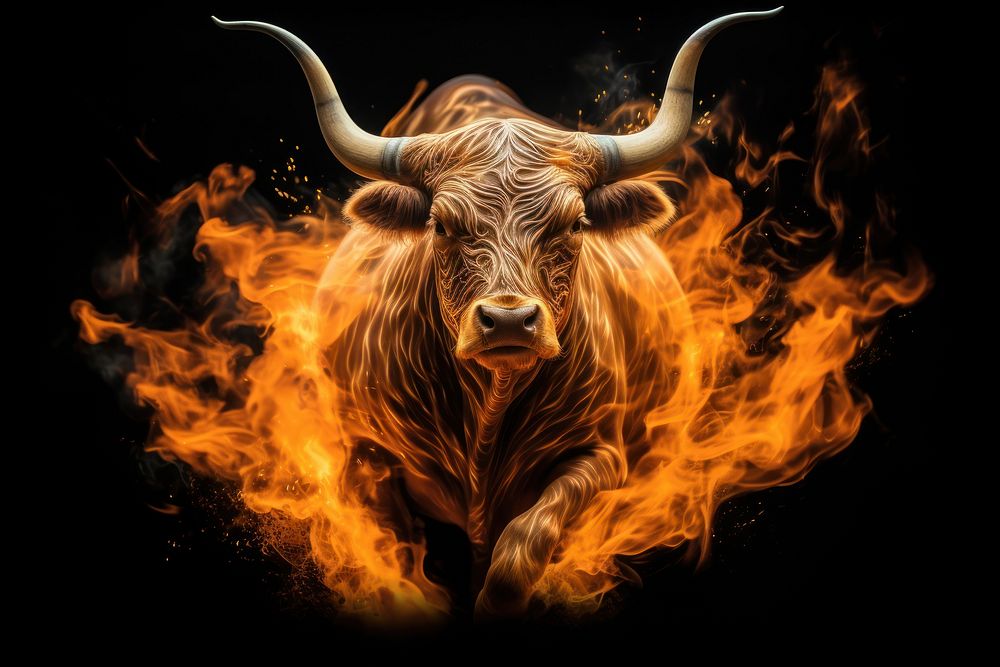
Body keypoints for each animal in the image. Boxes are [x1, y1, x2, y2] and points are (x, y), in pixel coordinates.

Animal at [214, 9, 781, 616]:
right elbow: (400, 565)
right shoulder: (366, 459)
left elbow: (521, 550)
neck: (489, 405)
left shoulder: (601, 455)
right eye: (441, 225)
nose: (509, 321)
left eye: (574, 223)